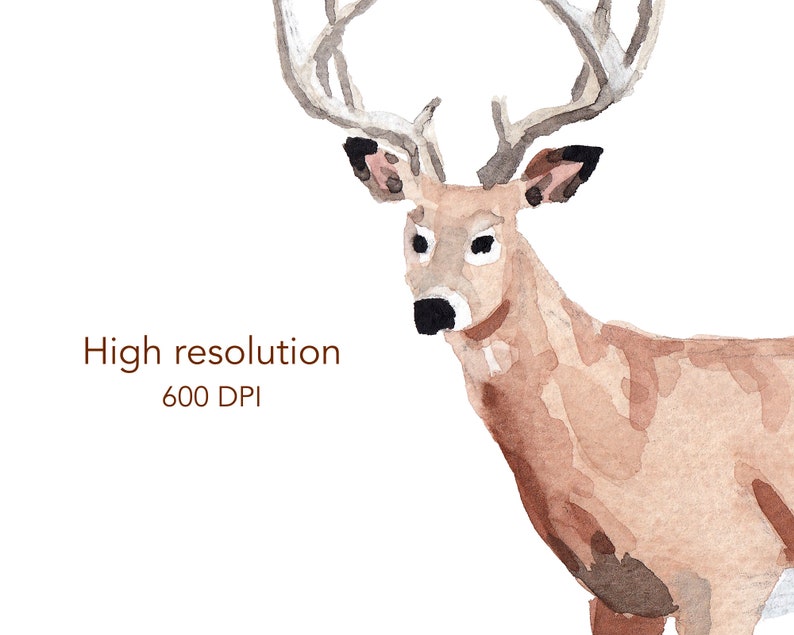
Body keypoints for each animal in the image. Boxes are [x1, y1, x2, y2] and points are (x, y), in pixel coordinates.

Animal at [272, 1, 794, 633]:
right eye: (418, 236)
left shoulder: (734, 567)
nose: (432, 309)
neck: (621, 430)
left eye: (486, 238)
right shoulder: (617, 592)